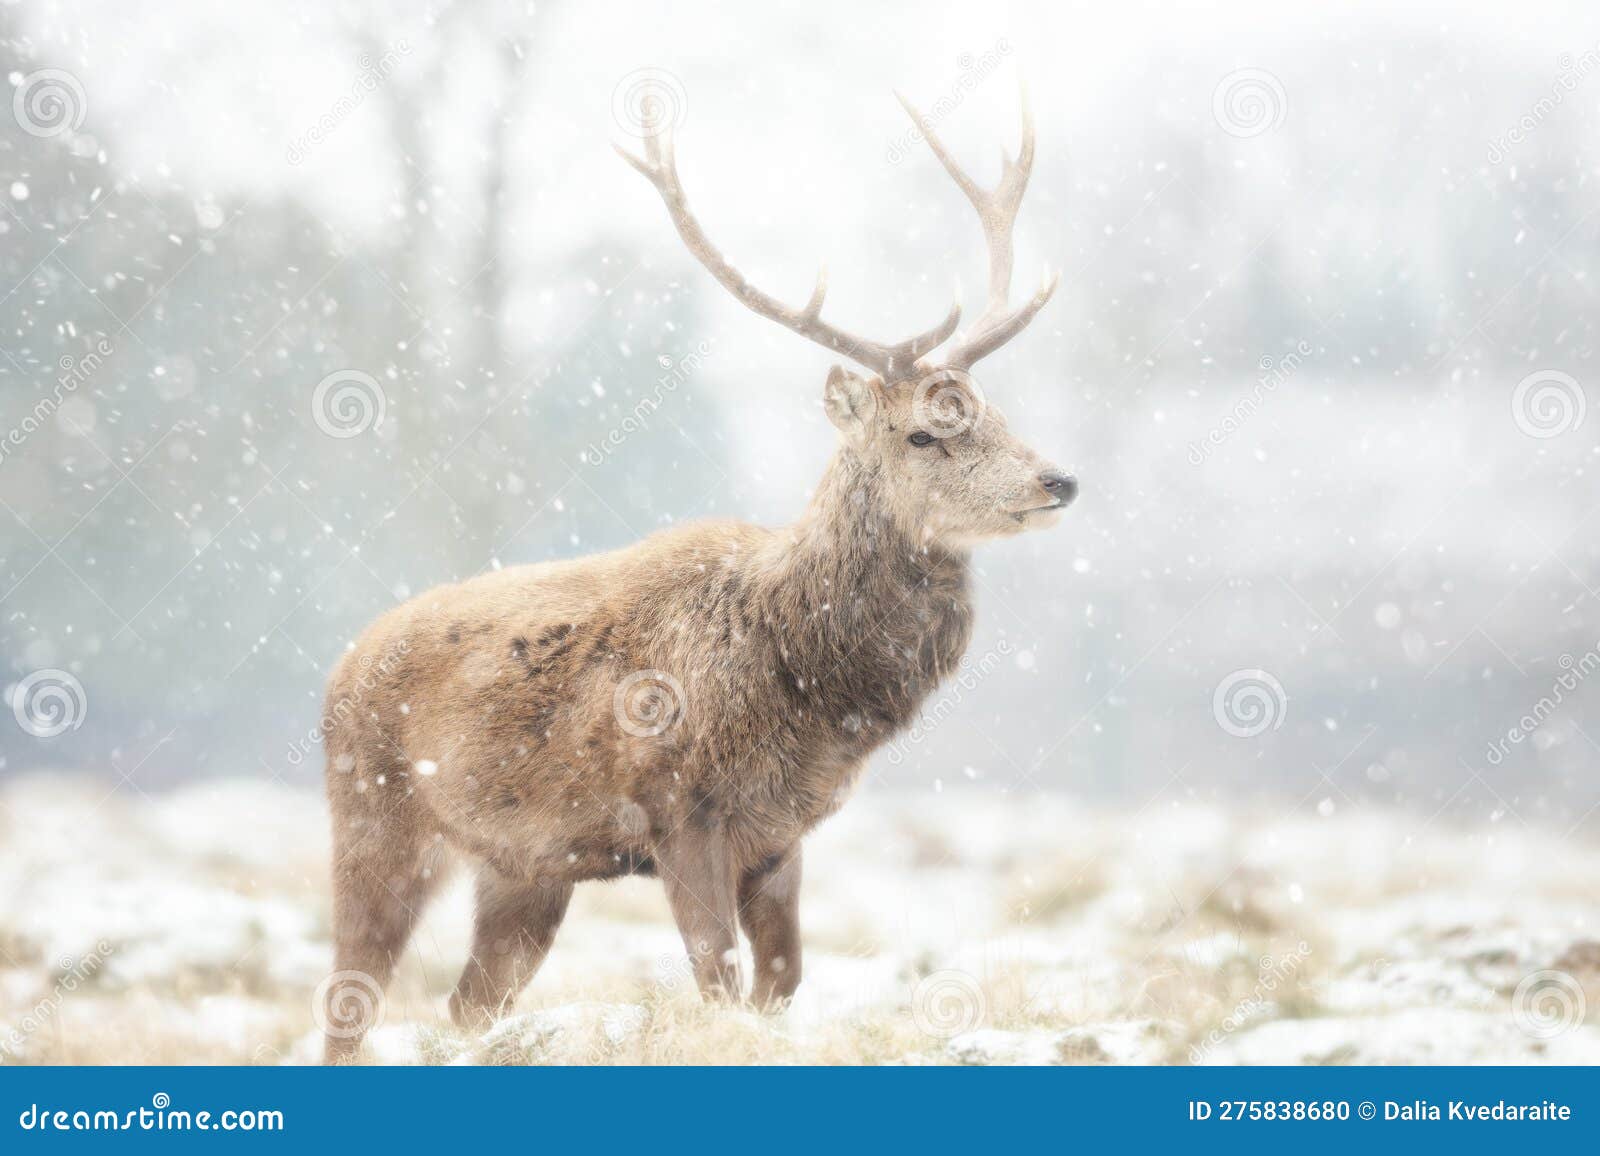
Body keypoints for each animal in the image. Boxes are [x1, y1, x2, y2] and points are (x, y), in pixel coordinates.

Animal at [319, 86, 1075, 1063]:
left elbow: (781, 984)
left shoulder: (784, 832)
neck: (806, 687)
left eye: (996, 412)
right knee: (348, 1002)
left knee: (468, 1003)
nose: (1056, 481)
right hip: (373, 816)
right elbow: (718, 981)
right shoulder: (683, 812)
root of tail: (341, 668)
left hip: (523, 864)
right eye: (924, 431)